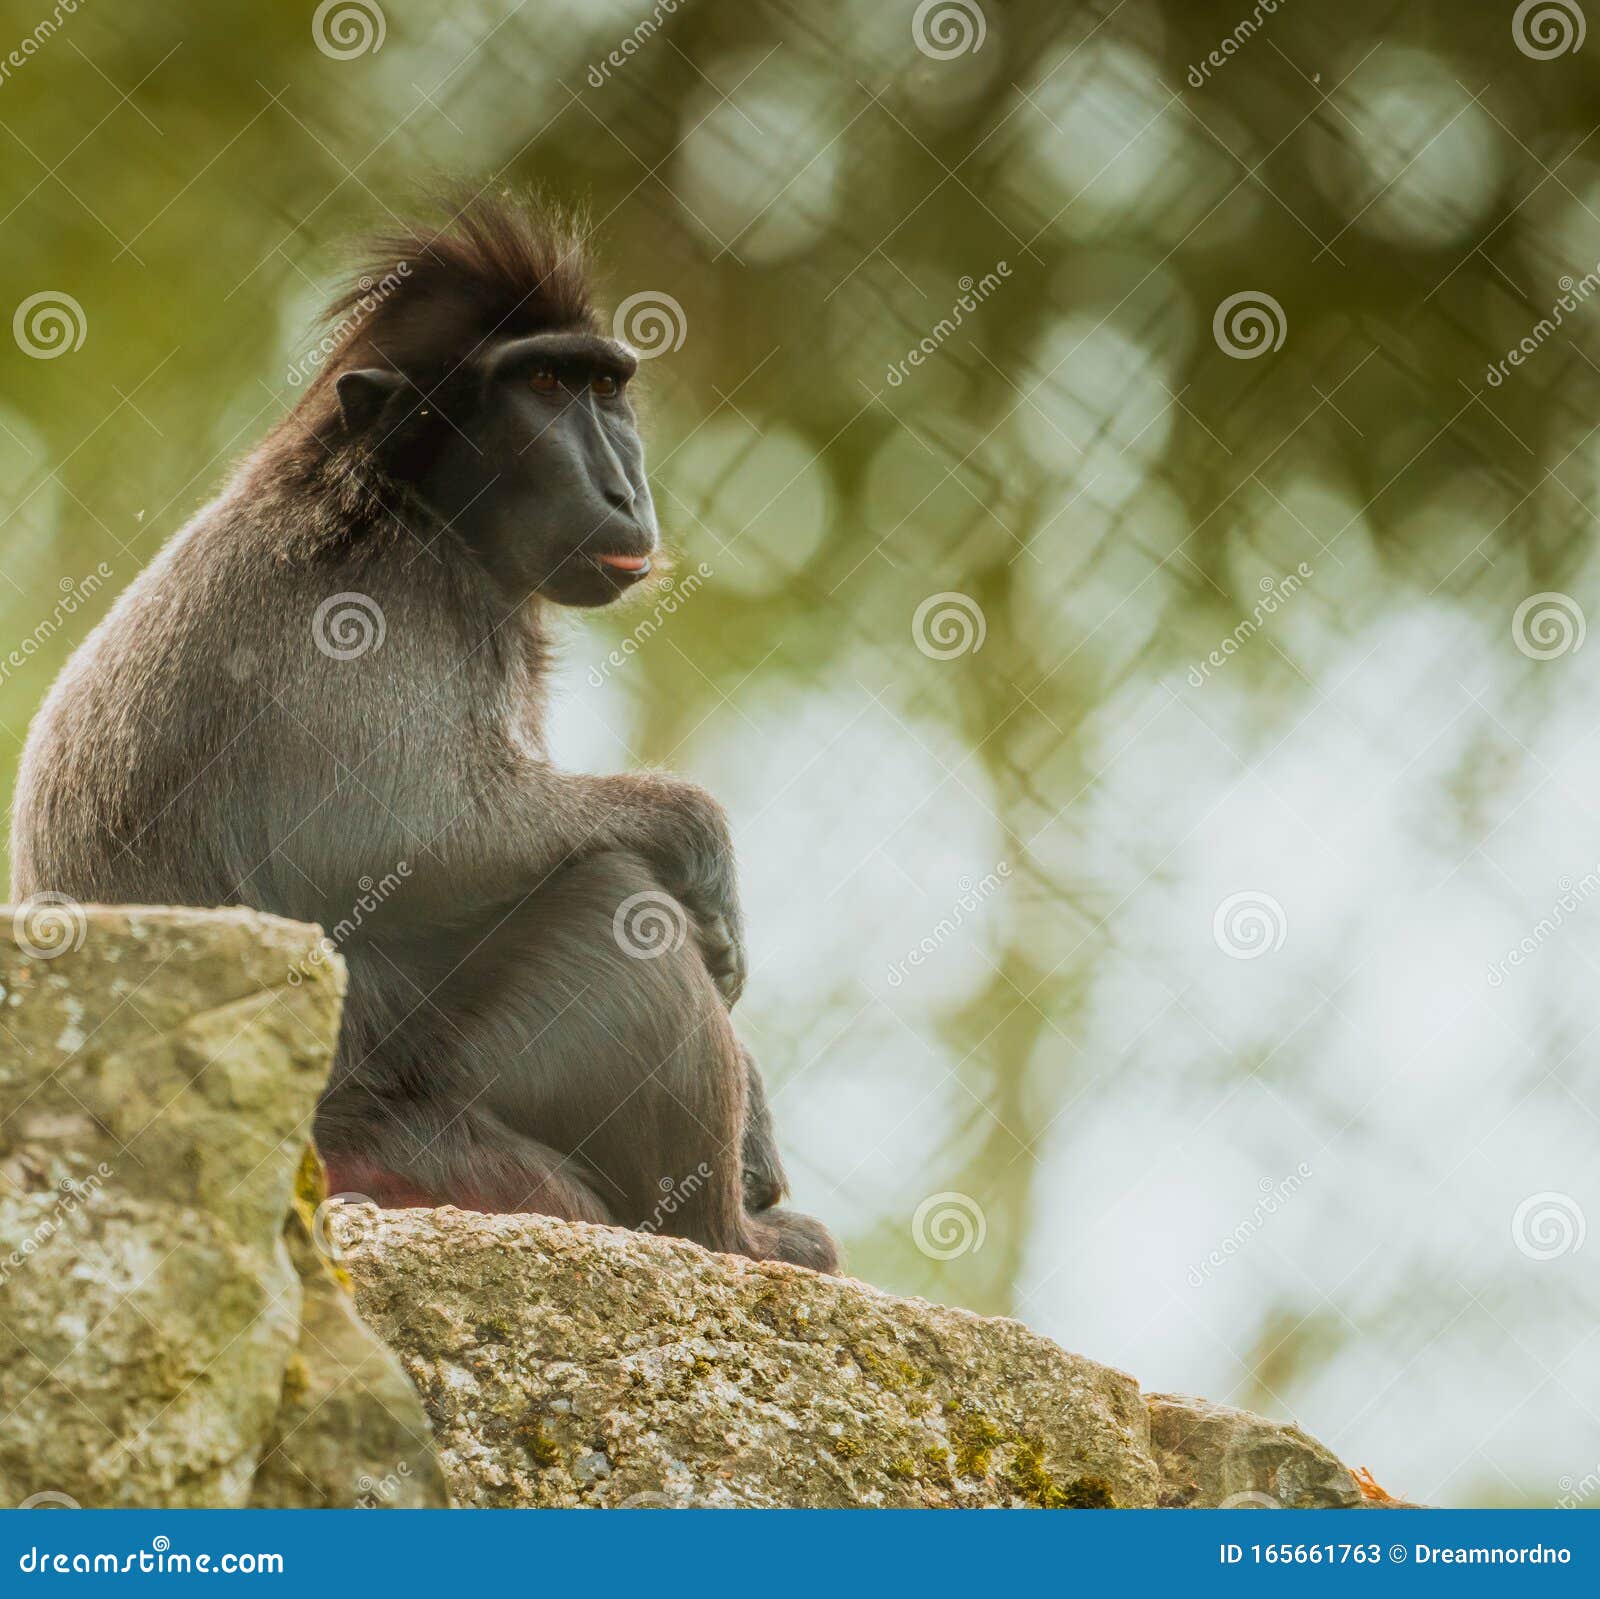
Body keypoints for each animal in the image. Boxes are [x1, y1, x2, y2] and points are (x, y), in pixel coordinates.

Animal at [8, 190, 837, 1273]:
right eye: (541, 384)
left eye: (606, 389)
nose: (626, 492)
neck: (397, 495)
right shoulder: (377, 597)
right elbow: (392, 842)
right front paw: (698, 839)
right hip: (420, 1149)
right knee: (611, 901)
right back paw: (729, 1240)